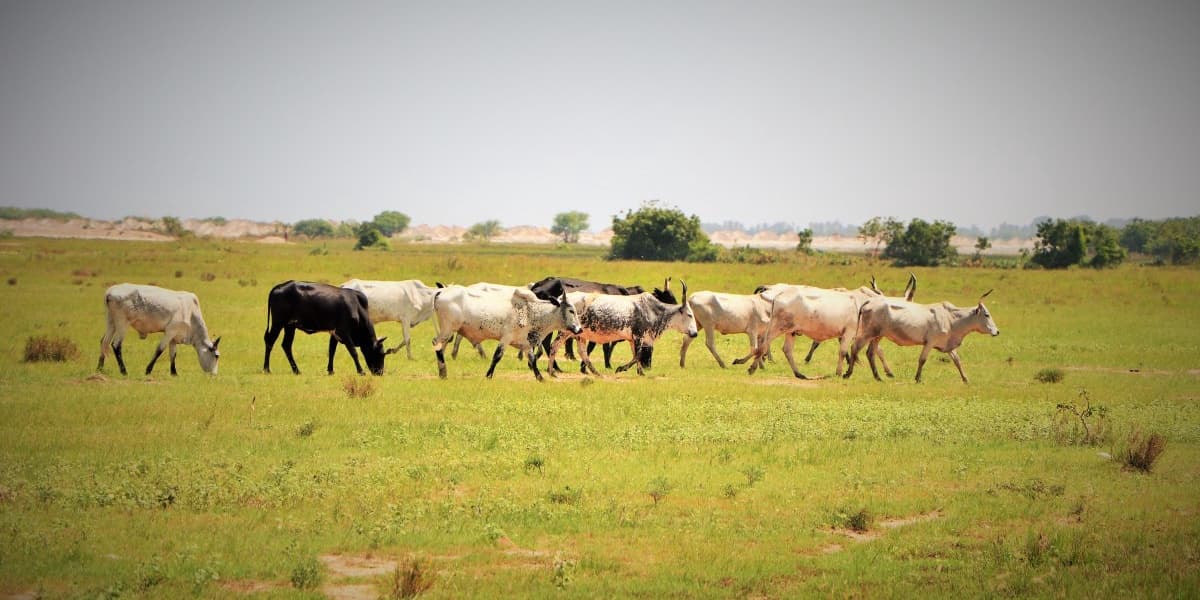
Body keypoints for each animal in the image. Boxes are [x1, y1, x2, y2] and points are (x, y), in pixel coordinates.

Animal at [263, 280, 395, 376]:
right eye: (380, 354)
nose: (380, 372)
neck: (357, 307)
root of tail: (279, 286)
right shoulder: (344, 332)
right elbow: (353, 352)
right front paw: (361, 371)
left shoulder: (334, 333)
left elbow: (332, 351)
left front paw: (331, 370)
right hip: (278, 323)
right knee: (270, 341)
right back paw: (267, 369)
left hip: (290, 326)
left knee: (286, 345)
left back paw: (296, 370)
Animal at [431, 285, 582, 381]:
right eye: (571, 310)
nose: (579, 329)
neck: (530, 311)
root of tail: (441, 292)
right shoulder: (506, 338)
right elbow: (497, 356)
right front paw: (488, 375)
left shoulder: (525, 343)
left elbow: (532, 360)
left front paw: (540, 378)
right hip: (447, 329)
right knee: (437, 346)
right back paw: (443, 373)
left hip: (448, 332)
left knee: (440, 348)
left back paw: (442, 372)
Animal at [551, 281, 697, 376]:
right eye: (689, 314)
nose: (695, 333)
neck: (652, 310)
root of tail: (562, 298)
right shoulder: (638, 336)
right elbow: (638, 355)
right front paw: (620, 368)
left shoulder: (633, 339)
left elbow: (636, 355)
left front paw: (641, 372)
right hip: (564, 332)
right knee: (554, 345)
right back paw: (553, 370)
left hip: (580, 335)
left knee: (582, 352)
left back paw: (595, 372)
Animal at [844, 290, 999, 383]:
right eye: (986, 315)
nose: (997, 332)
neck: (951, 318)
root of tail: (870, 302)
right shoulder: (930, 342)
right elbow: (922, 360)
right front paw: (918, 378)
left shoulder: (947, 345)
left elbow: (957, 361)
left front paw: (966, 379)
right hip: (868, 333)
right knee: (855, 348)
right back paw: (848, 373)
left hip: (878, 336)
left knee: (870, 352)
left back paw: (878, 377)